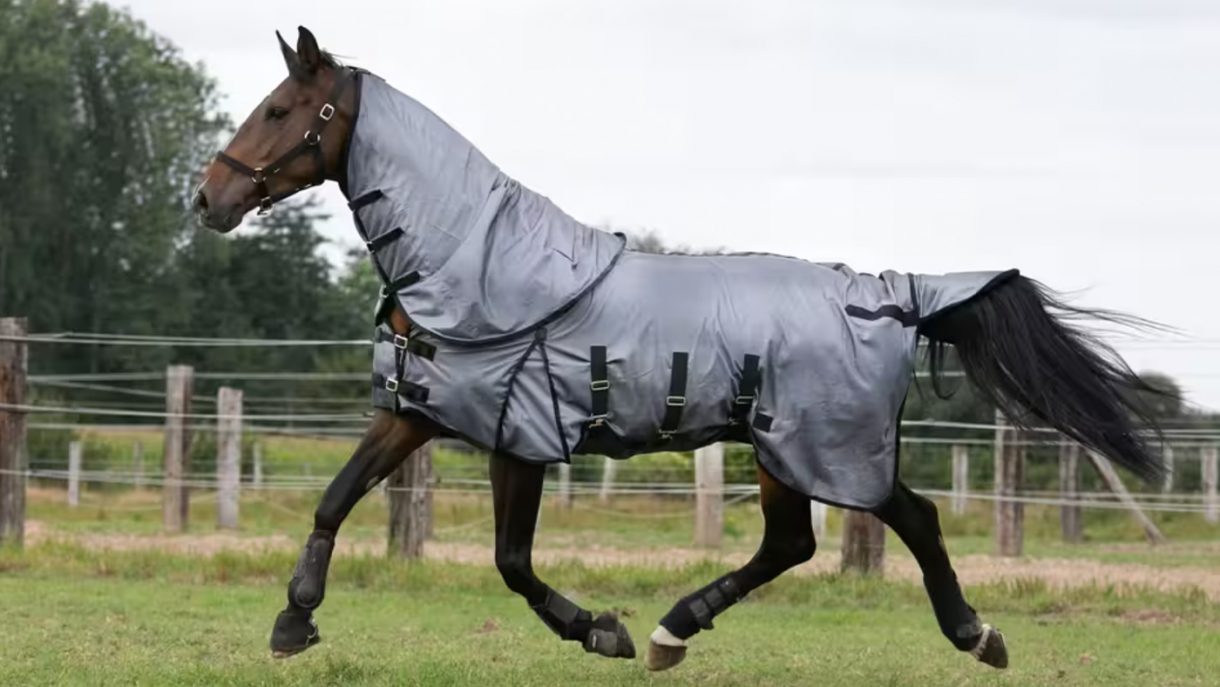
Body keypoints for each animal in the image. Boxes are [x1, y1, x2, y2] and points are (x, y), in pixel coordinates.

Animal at [192, 26, 1166, 673]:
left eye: (281, 109)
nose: (208, 198)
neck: (477, 262)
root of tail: (890, 291)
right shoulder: (421, 413)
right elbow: (333, 499)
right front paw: (293, 623)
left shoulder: (518, 434)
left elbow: (511, 561)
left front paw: (600, 628)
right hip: (781, 450)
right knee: (791, 545)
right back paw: (676, 629)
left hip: (823, 446)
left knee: (907, 519)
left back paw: (975, 634)